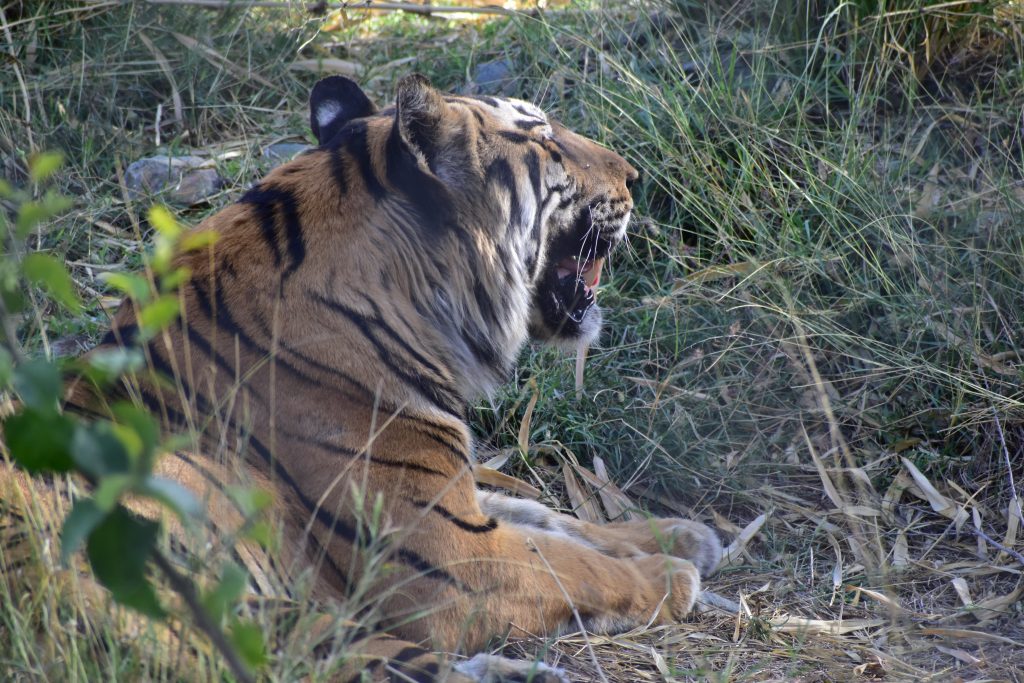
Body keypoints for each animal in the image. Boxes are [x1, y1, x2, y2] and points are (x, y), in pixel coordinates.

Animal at [3, 75, 722, 682]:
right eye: (545, 139)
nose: (635, 175)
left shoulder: (452, 495)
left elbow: (552, 517)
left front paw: (681, 535)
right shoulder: (443, 555)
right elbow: (567, 560)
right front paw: (672, 573)